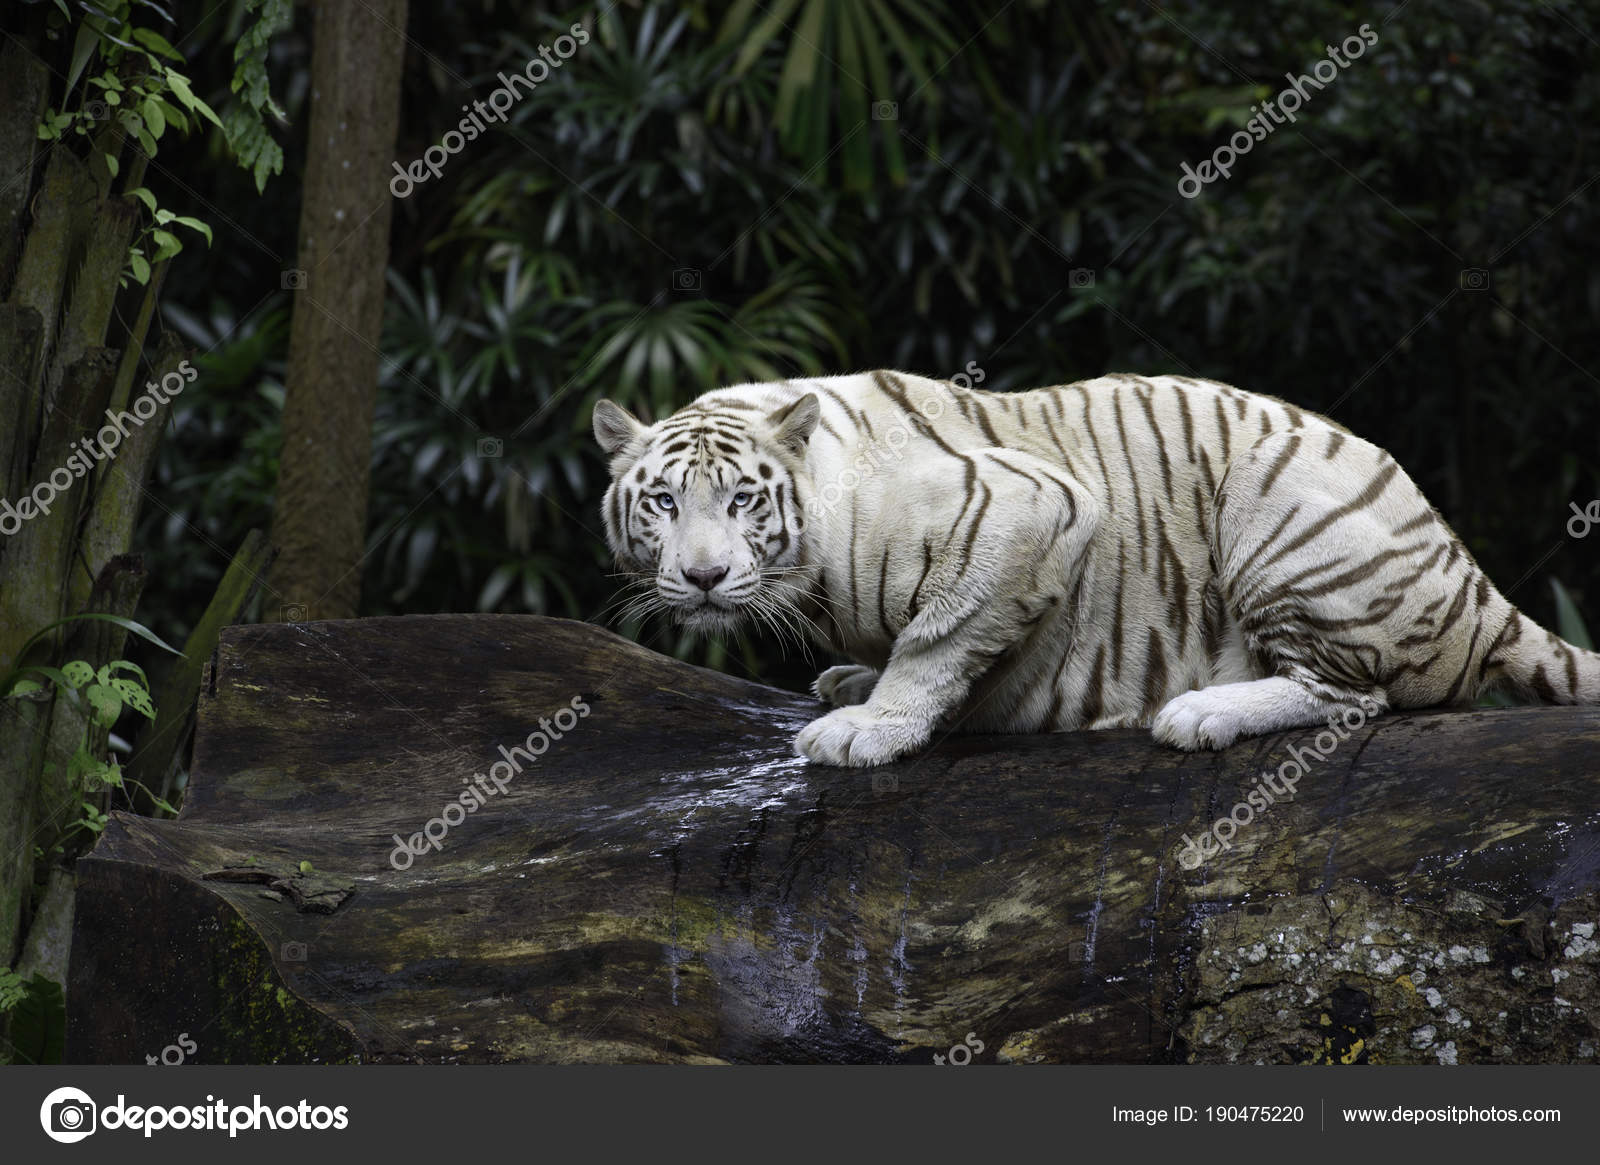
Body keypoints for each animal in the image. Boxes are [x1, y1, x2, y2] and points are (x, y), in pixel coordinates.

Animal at [592, 371, 1599, 767]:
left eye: (742, 501)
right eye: (664, 503)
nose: (705, 577)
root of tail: (1474, 584)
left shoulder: (1033, 507)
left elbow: (936, 638)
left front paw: (870, 726)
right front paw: (852, 681)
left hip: (1276, 500)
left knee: (1359, 695)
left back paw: (1200, 712)